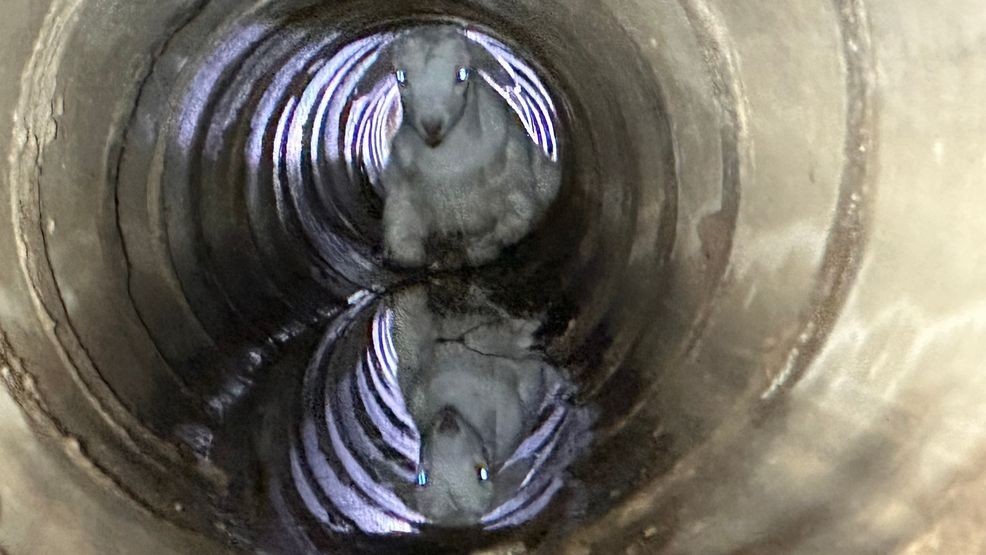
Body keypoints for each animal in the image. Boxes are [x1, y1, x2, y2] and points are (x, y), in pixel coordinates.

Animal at [377, 26, 561, 268]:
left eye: (462, 74)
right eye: (401, 76)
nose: (432, 127)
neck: (448, 163)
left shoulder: (515, 181)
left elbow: (513, 221)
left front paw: (482, 246)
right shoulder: (402, 190)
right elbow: (402, 232)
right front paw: (407, 256)